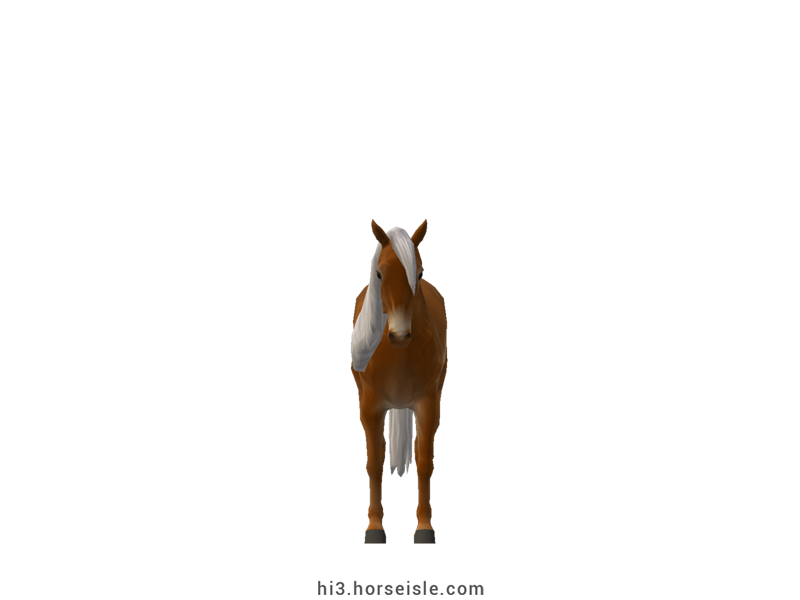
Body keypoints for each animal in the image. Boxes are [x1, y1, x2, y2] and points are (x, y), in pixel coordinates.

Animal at [352, 219, 447, 532]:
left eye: (417, 273)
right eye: (379, 273)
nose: (400, 335)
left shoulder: (428, 404)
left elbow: (425, 464)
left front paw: (424, 527)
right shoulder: (371, 407)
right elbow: (373, 465)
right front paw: (374, 527)